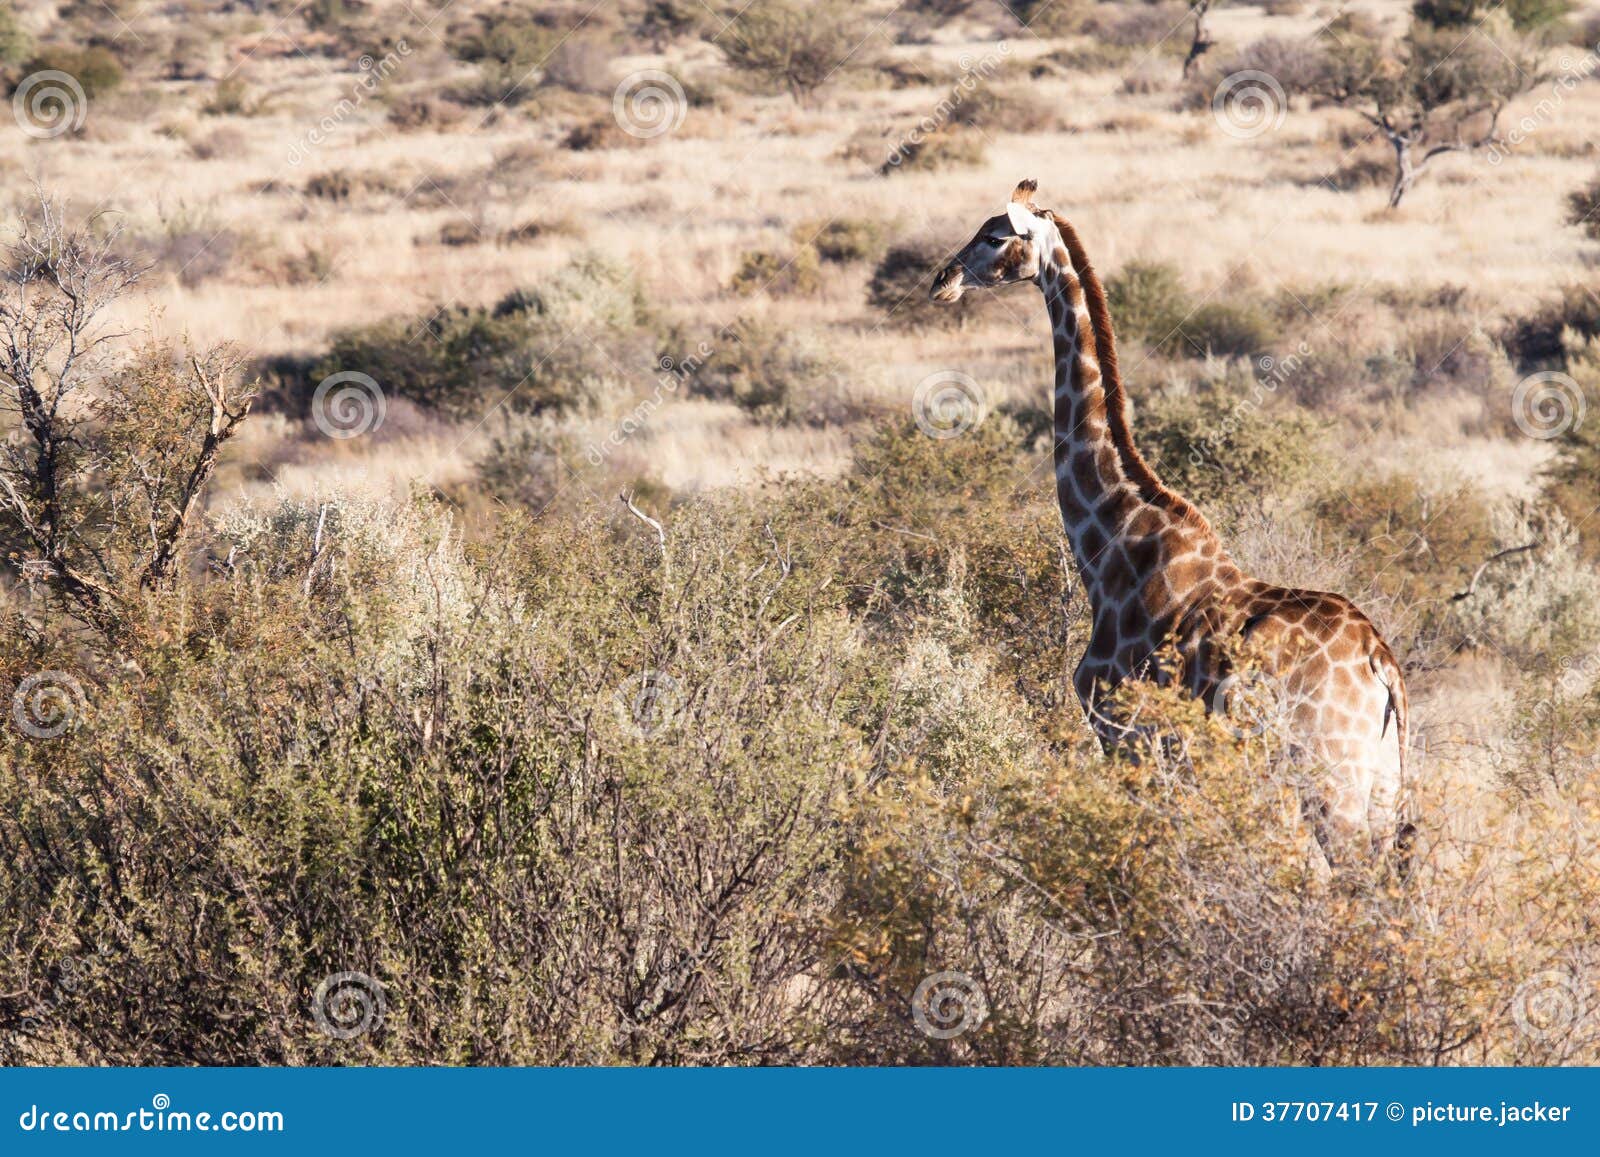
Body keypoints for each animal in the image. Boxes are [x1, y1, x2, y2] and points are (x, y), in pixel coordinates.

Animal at [931, 179, 1412, 864]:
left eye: (997, 236)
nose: (941, 280)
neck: (1112, 542)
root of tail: (1381, 661)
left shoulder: (1122, 734)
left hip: (1329, 777)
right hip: (1383, 787)